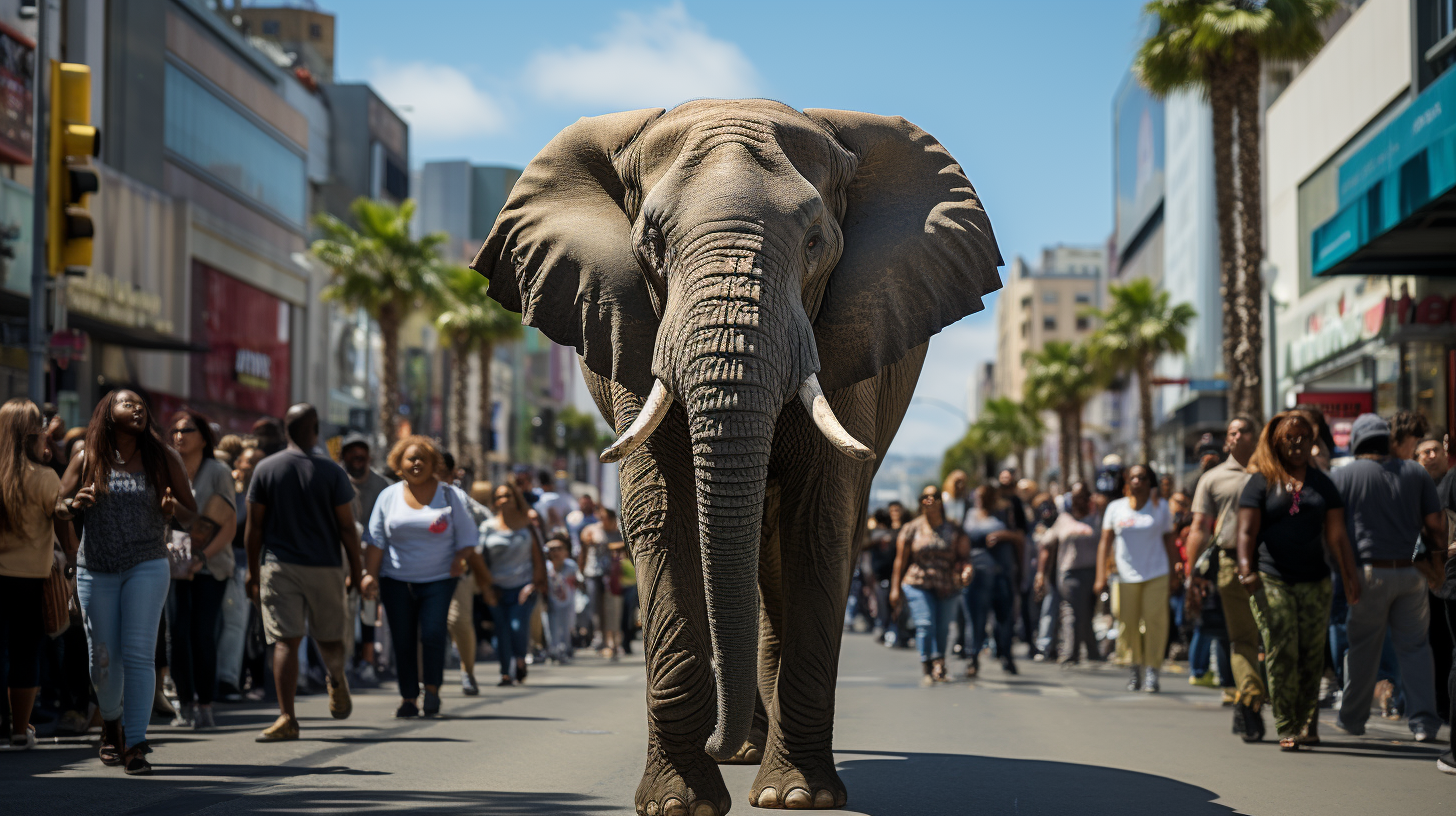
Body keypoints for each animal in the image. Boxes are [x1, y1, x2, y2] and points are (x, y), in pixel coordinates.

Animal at [472, 99, 1002, 815]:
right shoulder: (627, 328)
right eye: (652, 241)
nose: (719, 742)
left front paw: (797, 796)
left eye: (816, 242)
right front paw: (679, 805)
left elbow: (819, 524)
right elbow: (663, 516)